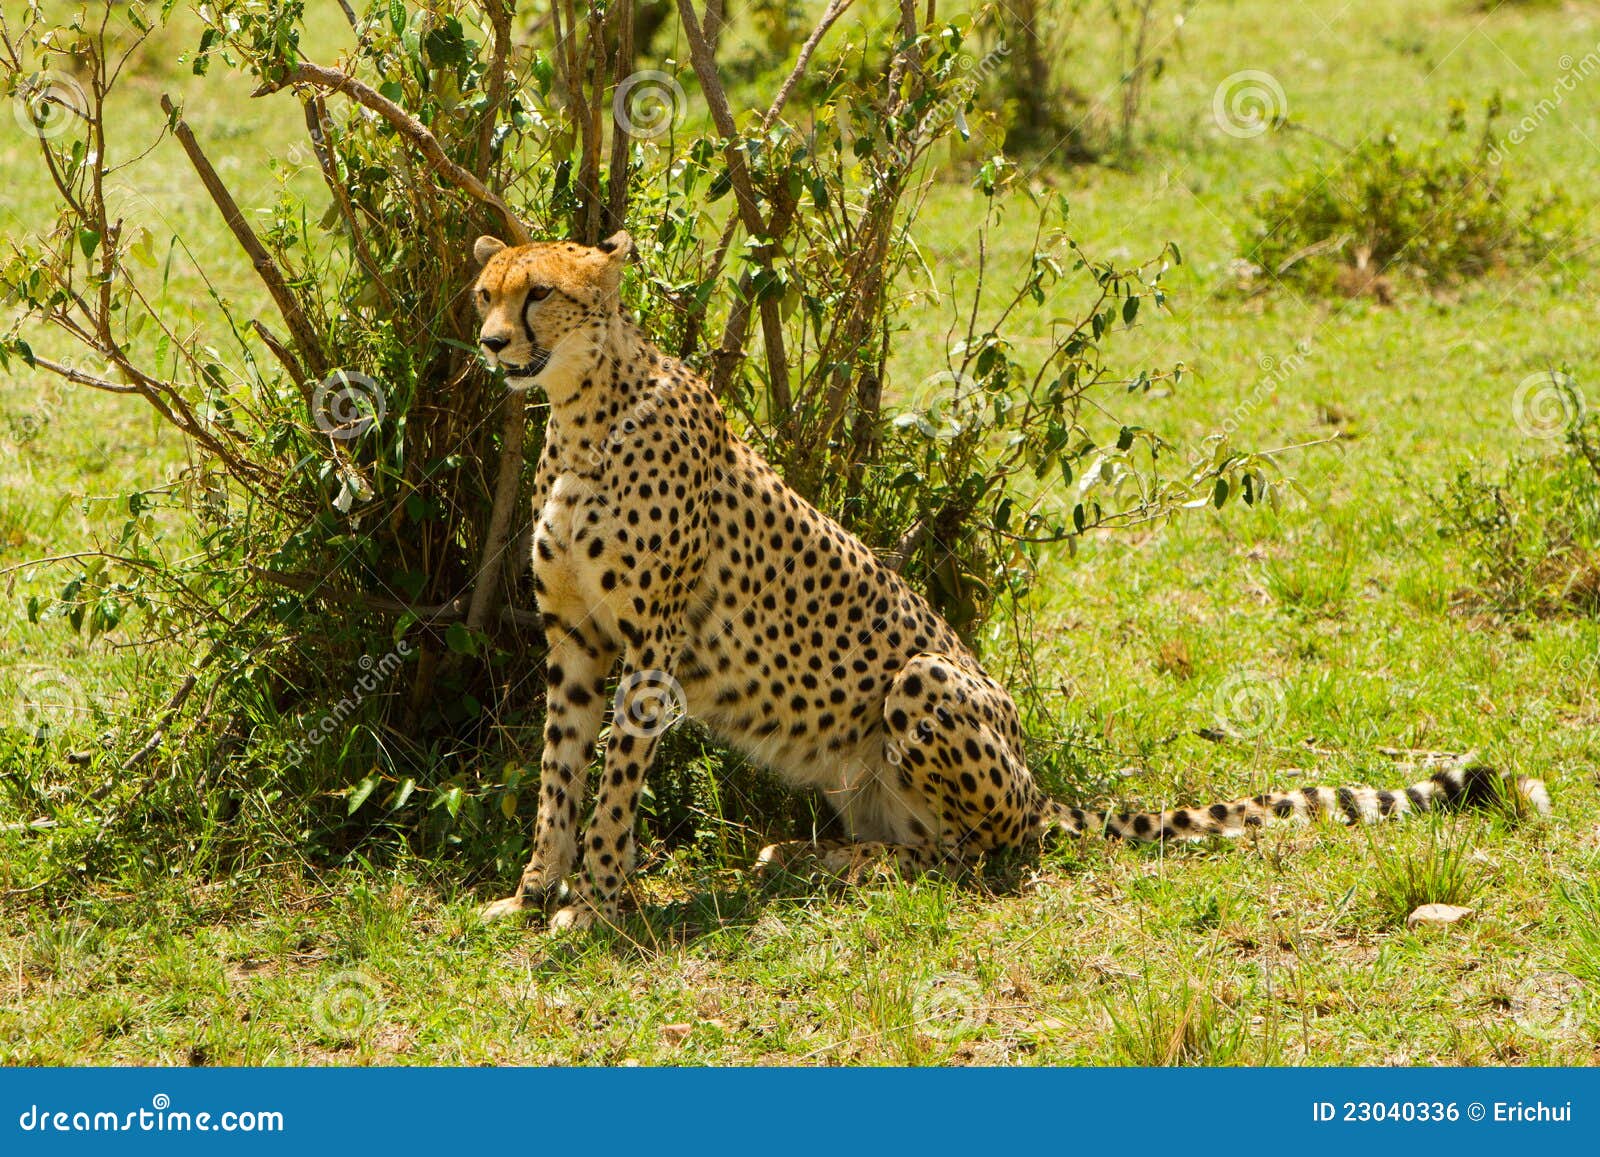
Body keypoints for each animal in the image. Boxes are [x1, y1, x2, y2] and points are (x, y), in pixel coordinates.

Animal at [469, 229, 1551, 931]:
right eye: (486, 292)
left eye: (540, 294)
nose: (488, 345)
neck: (582, 411)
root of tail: (1038, 786)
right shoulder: (576, 642)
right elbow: (558, 773)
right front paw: (529, 894)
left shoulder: (647, 649)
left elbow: (610, 781)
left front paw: (594, 907)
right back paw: (809, 852)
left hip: (927, 682)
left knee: (969, 851)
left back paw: (845, 863)